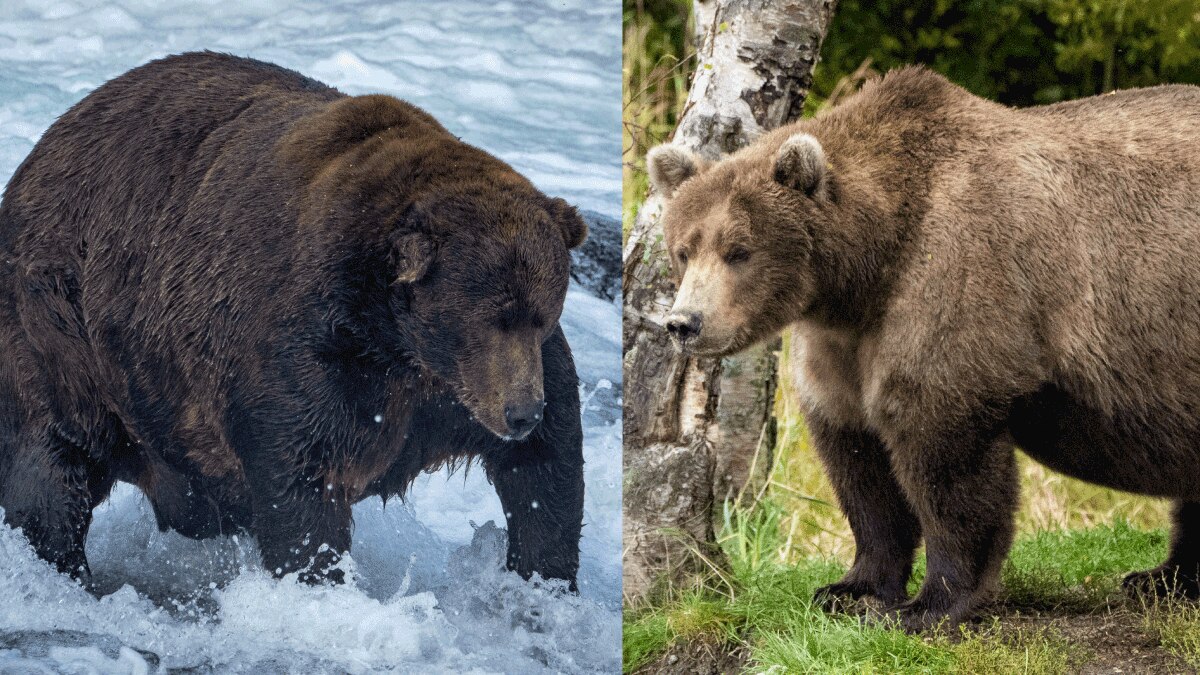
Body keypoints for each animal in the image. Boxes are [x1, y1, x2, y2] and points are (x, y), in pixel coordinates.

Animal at [0, 51, 588, 589]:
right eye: (490, 318)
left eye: (541, 314)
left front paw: (543, 581)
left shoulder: (454, 392)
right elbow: (304, 481)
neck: (396, 341)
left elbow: (548, 466)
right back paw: (63, 570)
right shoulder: (310, 353)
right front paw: (320, 578)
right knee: (53, 465)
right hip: (65, 331)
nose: (520, 412)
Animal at [646, 65, 1200, 632]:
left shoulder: (957, 281)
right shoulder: (839, 344)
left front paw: (928, 604)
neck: (867, 268)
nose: (684, 323)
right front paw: (849, 588)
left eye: (739, 250)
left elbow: (944, 461)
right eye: (684, 250)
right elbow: (859, 463)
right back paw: (1163, 578)